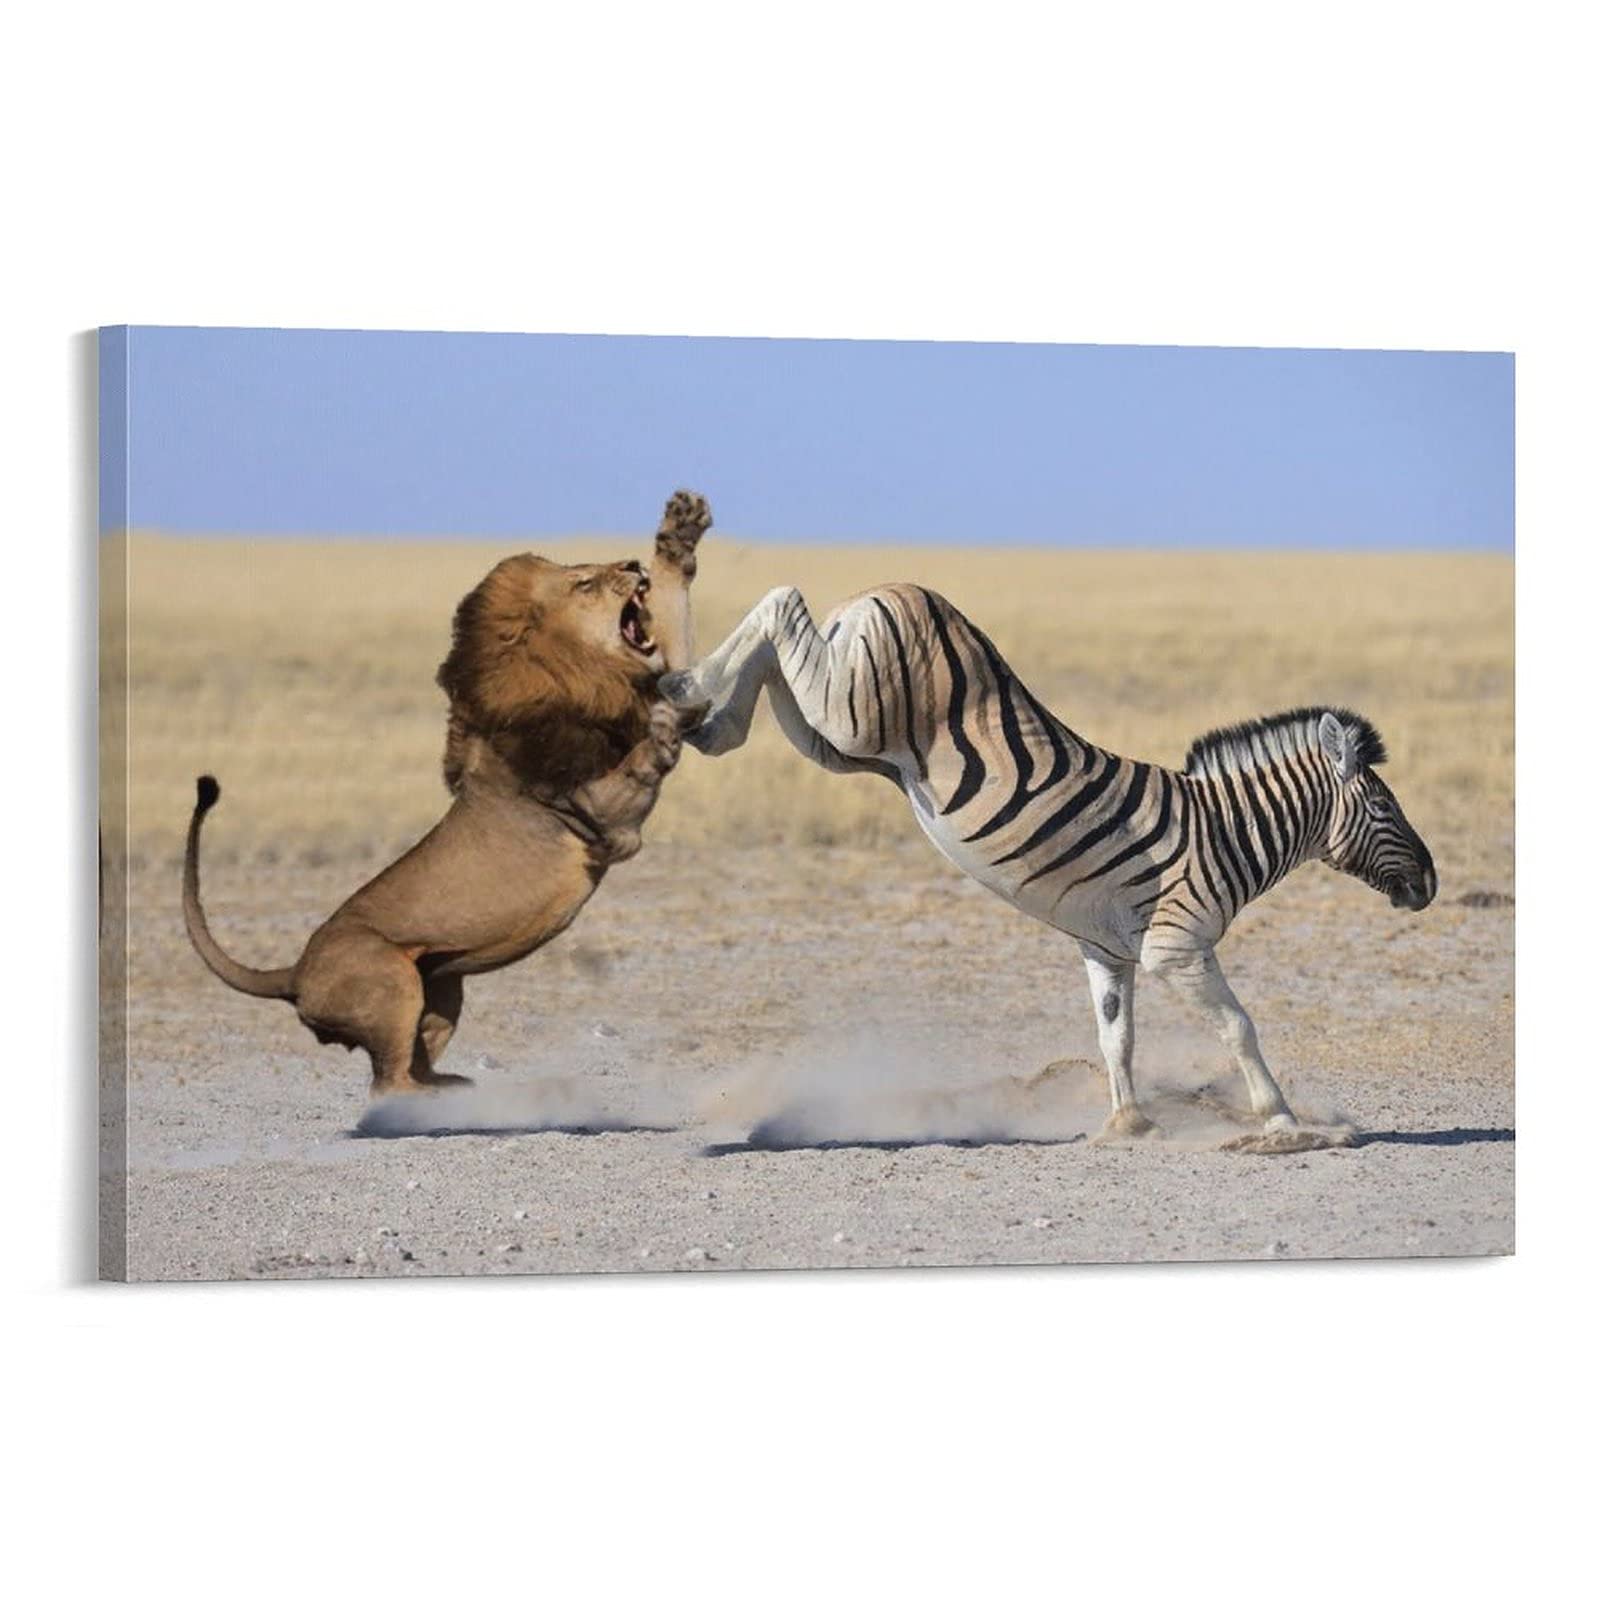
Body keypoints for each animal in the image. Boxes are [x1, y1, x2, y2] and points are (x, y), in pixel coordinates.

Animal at [181, 490, 713, 1095]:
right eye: (583, 583)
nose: (631, 565)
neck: (584, 678)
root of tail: (294, 971)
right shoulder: (594, 816)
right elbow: (641, 760)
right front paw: (666, 723)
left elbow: (675, 632)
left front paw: (680, 533)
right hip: (390, 976)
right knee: (387, 1082)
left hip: (442, 988)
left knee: (413, 1061)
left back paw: (452, 1085)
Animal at [661, 582, 1437, 1140]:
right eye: (1386, 808)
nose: (1431, 884)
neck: (1226, 830)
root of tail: (892, 588)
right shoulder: (1176, 947)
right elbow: (1239, 1026)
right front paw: (1282, 1121)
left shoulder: (1110, 951)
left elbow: (1116, 1037)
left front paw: (1127, 1124)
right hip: (851, 712)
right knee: (781, 600)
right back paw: (690, 688)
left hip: (839, 738)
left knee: (777, 651)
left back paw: (706, 714)